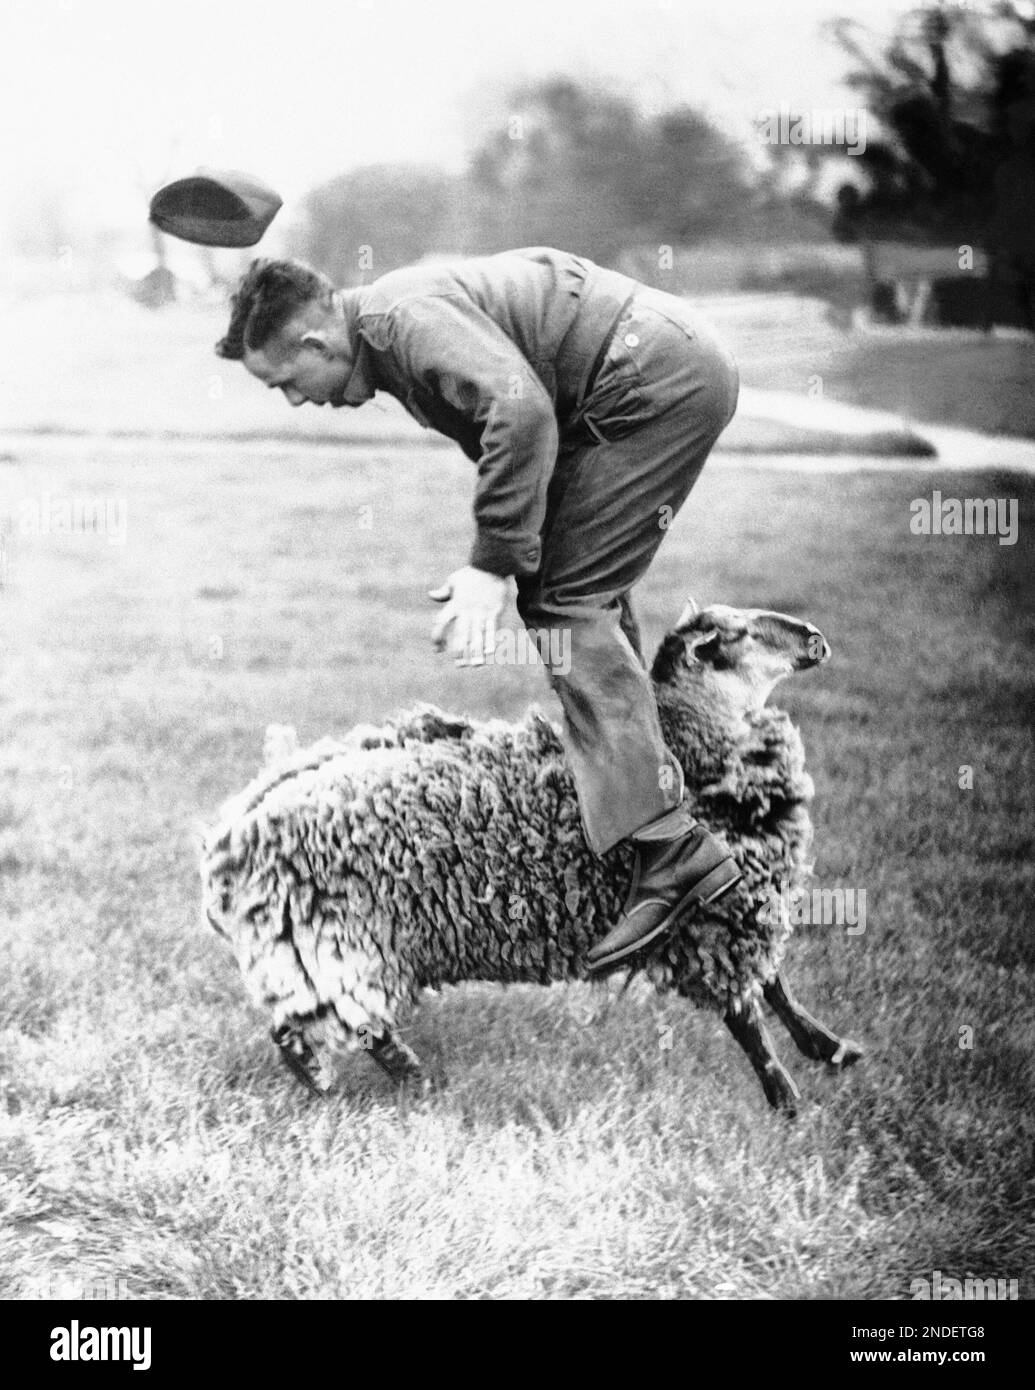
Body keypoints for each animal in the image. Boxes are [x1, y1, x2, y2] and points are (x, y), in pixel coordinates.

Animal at [200, 598, 862, 1114]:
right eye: (739, 633)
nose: (815, 638)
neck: (695, 742)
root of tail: (235, 835)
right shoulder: (713, 924)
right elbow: (748, 1015)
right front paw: (786, 1099)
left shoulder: (740, 908)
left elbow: (778, 989)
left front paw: (829, 1048)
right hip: (339, 944)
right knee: (347, 1026)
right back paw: (400, 1080)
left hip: (307, 950)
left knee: (302, 1020)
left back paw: (355, 1077)